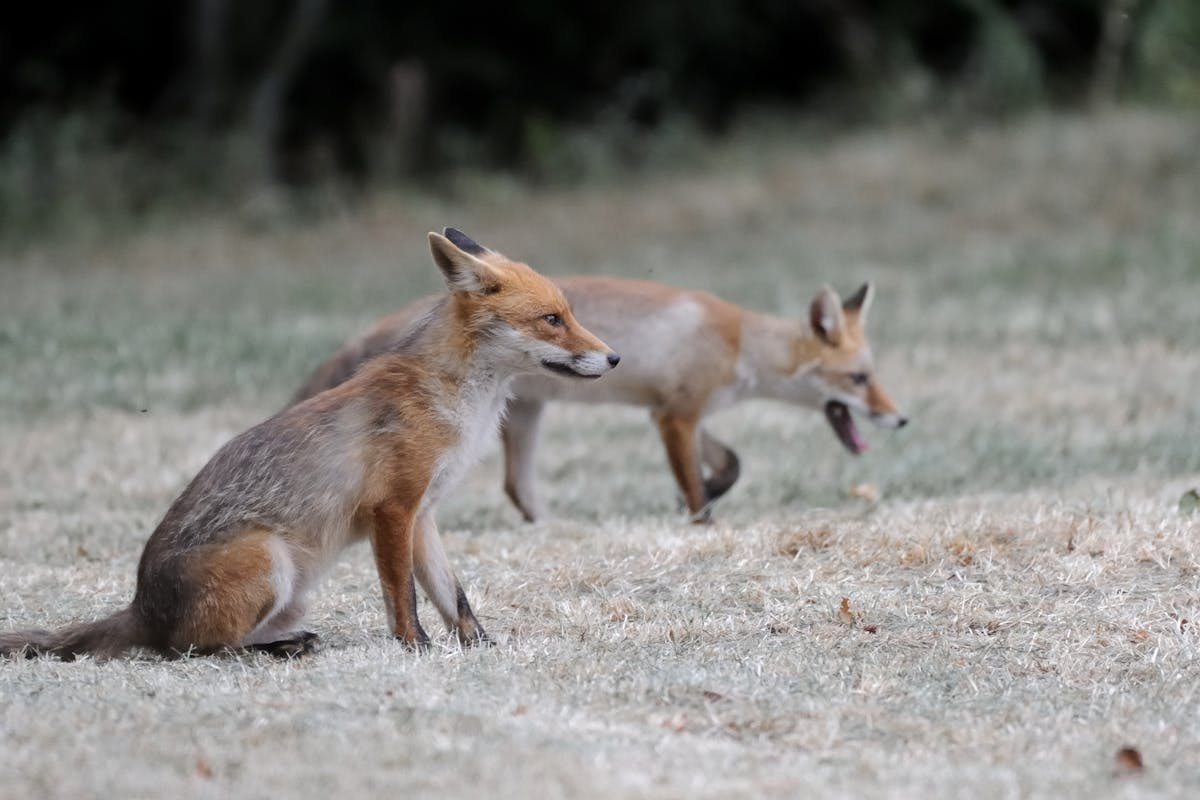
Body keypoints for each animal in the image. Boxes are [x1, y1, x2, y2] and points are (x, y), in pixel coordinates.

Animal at [0, 228, 618, 660]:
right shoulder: (393, 509)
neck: (457, 401)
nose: (613, 358)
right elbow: (403, 595)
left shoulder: (424, 515)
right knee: (190, 650)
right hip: (267, 559)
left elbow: (454, 595)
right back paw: (278, 650)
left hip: (293, 588)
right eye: (551, 319)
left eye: (569, 313)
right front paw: (415, 649)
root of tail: (140, 607)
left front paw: (480, 649)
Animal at [294, 266, 906, 523]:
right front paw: (699, 517)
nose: (900, 420)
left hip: (527, 414)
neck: (739, 344)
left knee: (518, 488)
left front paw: (703, 493)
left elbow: (730, 465)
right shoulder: (675, 416)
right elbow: (696, 487)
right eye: (859, 380)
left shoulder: (683, 412)